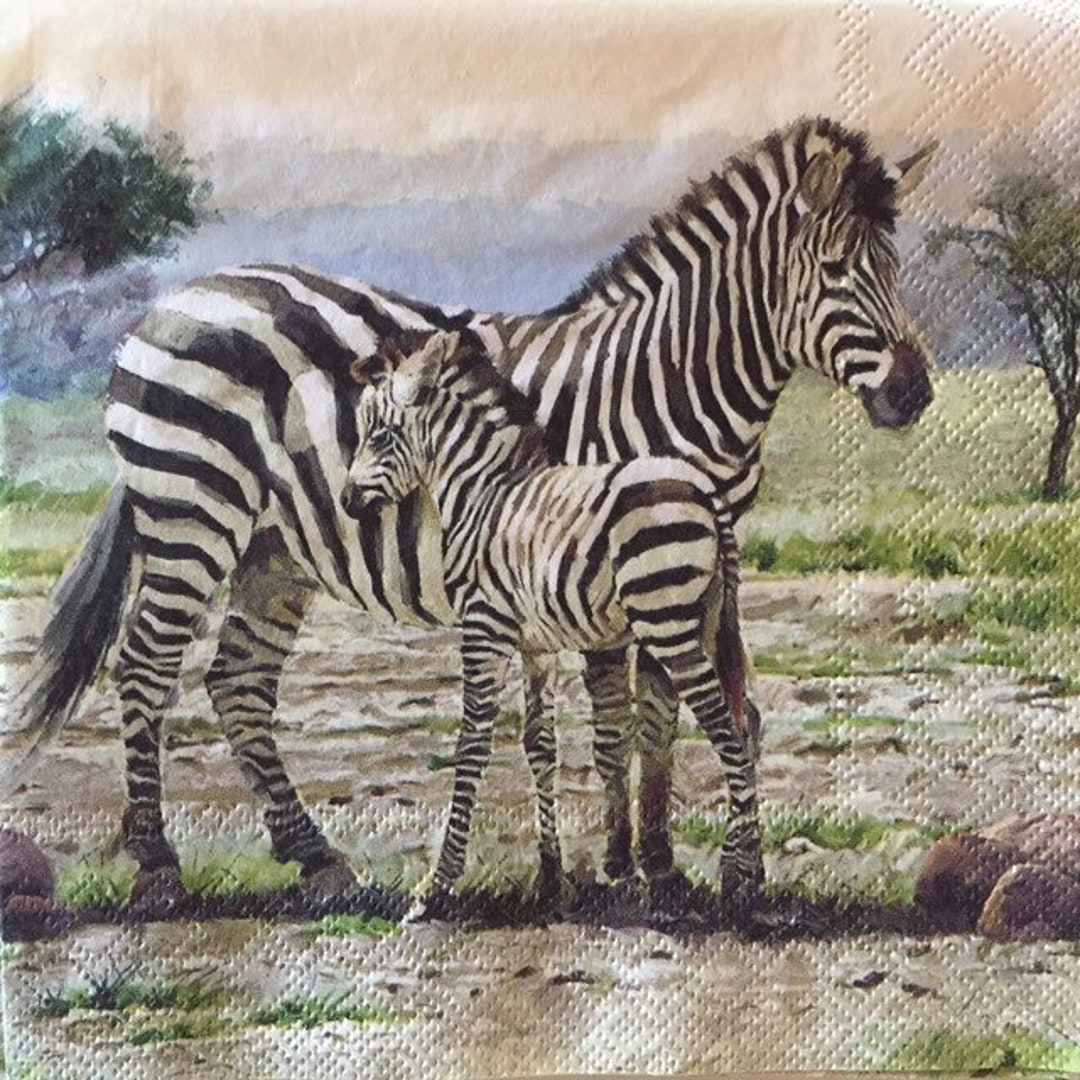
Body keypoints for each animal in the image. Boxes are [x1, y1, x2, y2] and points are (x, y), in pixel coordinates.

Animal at [341, 327, 763, 915]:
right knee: (745, 722)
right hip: (708, 615)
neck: (485, 495)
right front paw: (551, 880)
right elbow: (539, 744)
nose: (346, 501)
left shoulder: (483, 627)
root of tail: (704, 490)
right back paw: (745, 868)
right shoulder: (533, 645)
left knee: (726, 728)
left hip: (668, 623)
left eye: (380, 437)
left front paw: (436, 884)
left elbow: (472, 743)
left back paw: (740, 880)